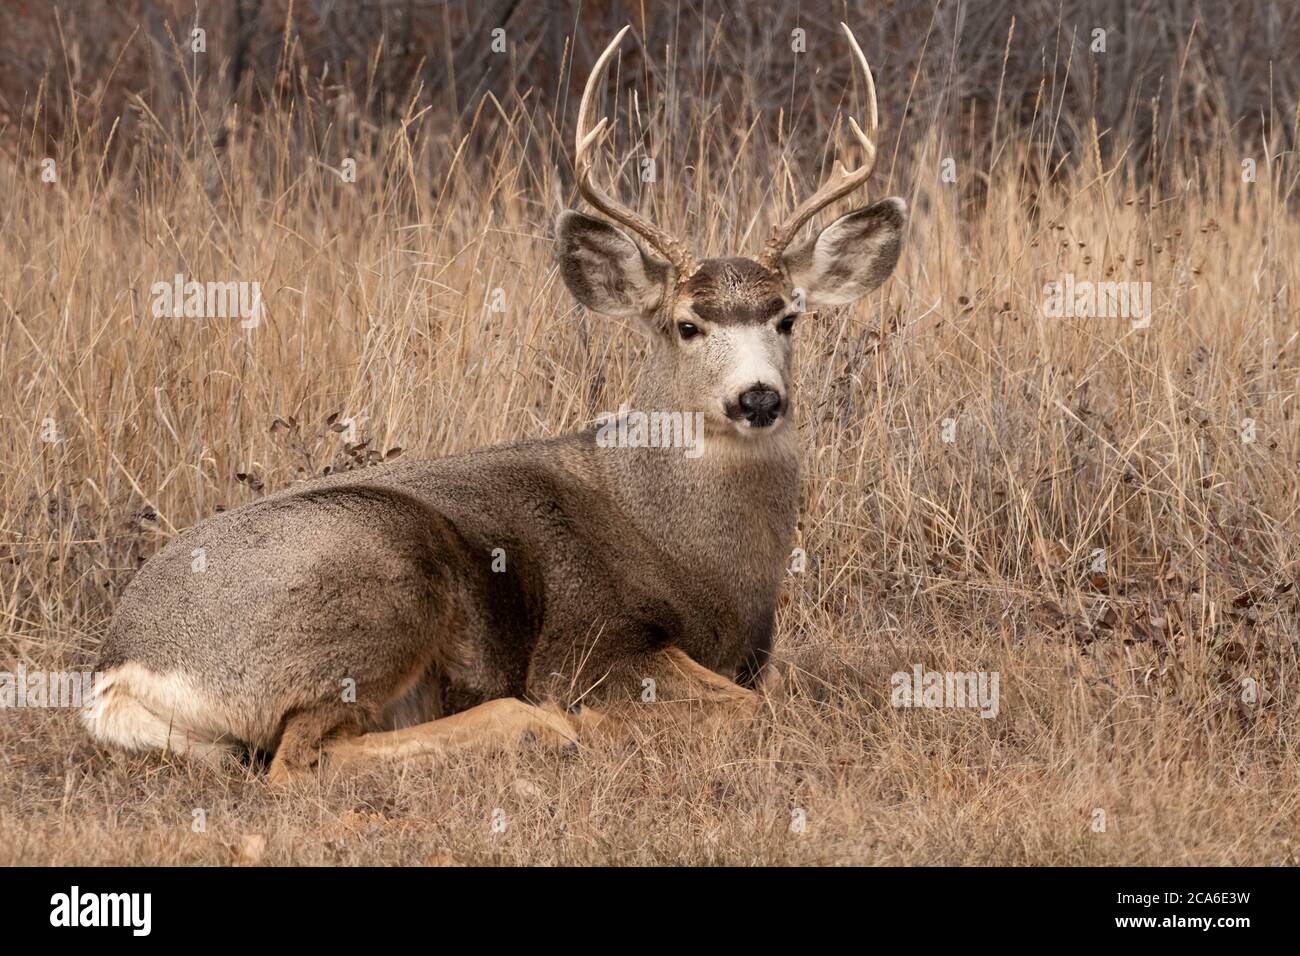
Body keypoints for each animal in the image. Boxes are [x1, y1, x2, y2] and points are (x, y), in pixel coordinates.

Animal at [82, 23, 906, 782]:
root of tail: (119, 671)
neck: (688, 548)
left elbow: (791, 683)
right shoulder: (587, 643)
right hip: (377, 569)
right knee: (303, 757)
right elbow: (753, 704)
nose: (758, 397)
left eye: (788, 318)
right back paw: (539, 725)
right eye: (686, 324)